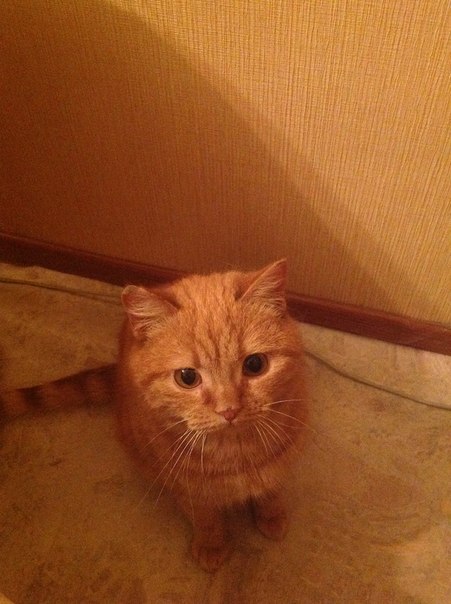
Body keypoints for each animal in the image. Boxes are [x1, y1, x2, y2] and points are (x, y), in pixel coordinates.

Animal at [0, 259, 307, 572]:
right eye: (187, 377)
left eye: (255, 364)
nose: (228, 409)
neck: (233, 454)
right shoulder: (186, 486)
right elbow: (206, 518)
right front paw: (212, 545)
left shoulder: (283, 458)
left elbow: (271, 490)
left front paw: (271, 515)